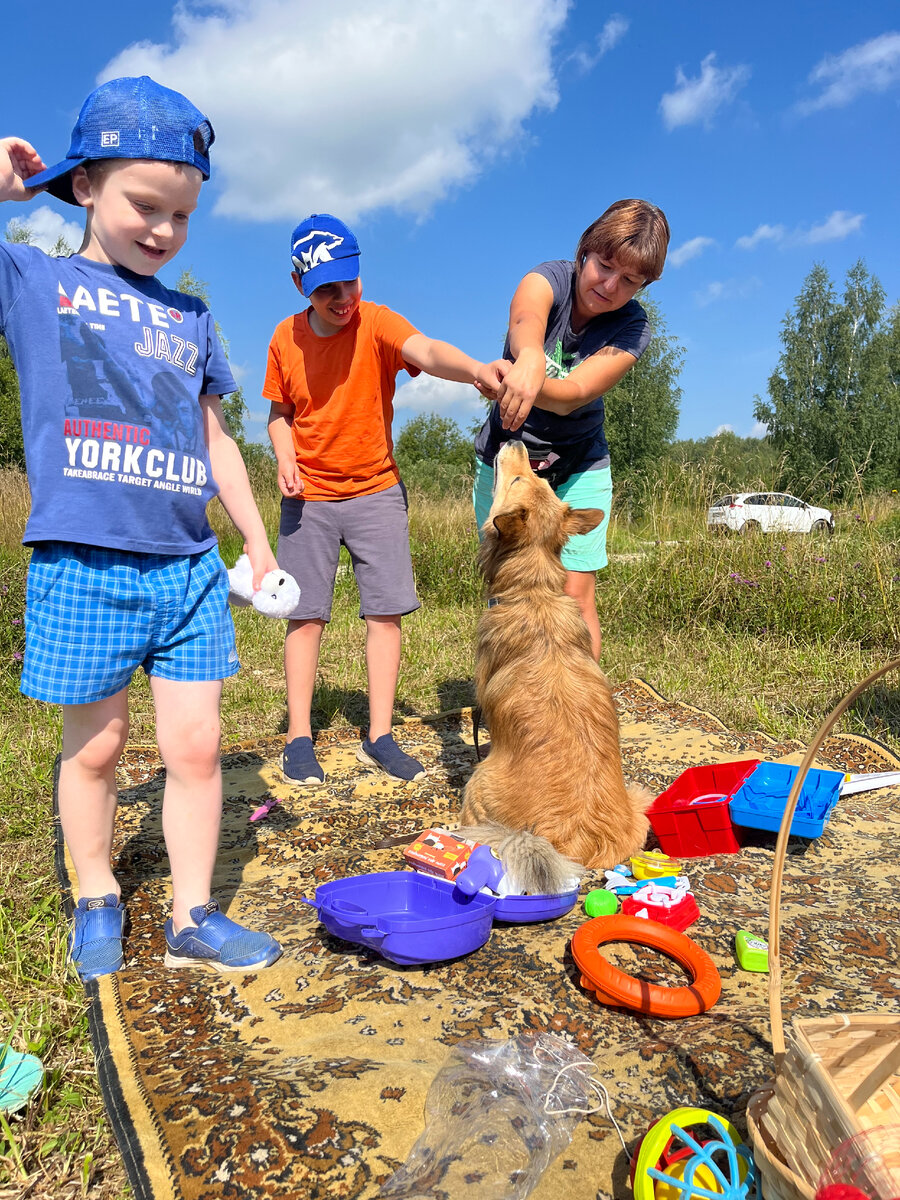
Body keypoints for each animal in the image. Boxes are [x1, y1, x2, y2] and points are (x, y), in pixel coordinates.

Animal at [460, 436, 652, 868]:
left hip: (478, 782)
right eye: (537, 481)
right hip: (640, 799)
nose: (515, 439)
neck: (534, 589)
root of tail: (575, 846)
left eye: (518, 479)